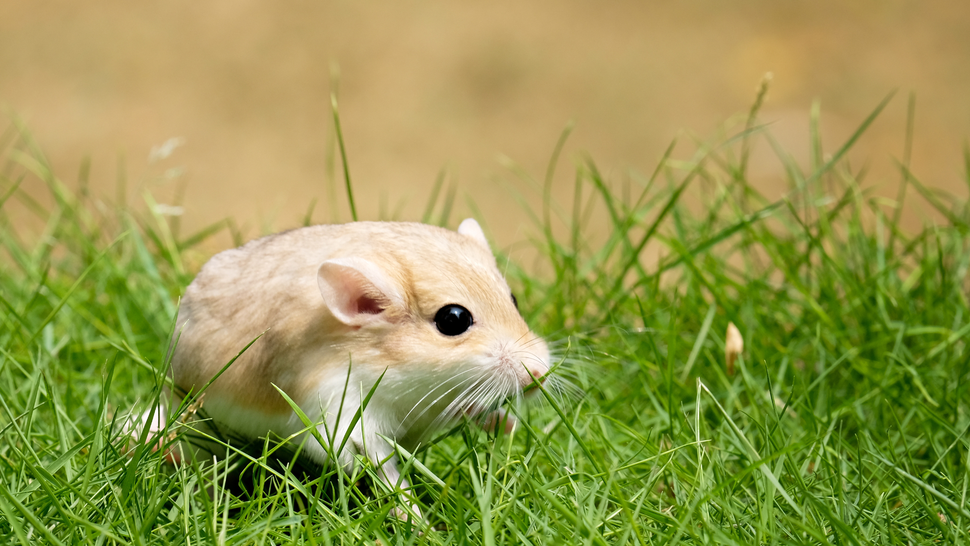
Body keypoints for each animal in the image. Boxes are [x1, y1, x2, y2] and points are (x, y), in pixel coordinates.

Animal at [167, 218, 550, 503]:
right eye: (453, 320)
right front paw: (417, 522)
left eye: (514, 299)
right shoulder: (345, 418)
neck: (403, 379)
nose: (540, 374)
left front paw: (506, 426)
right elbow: (387, 474)